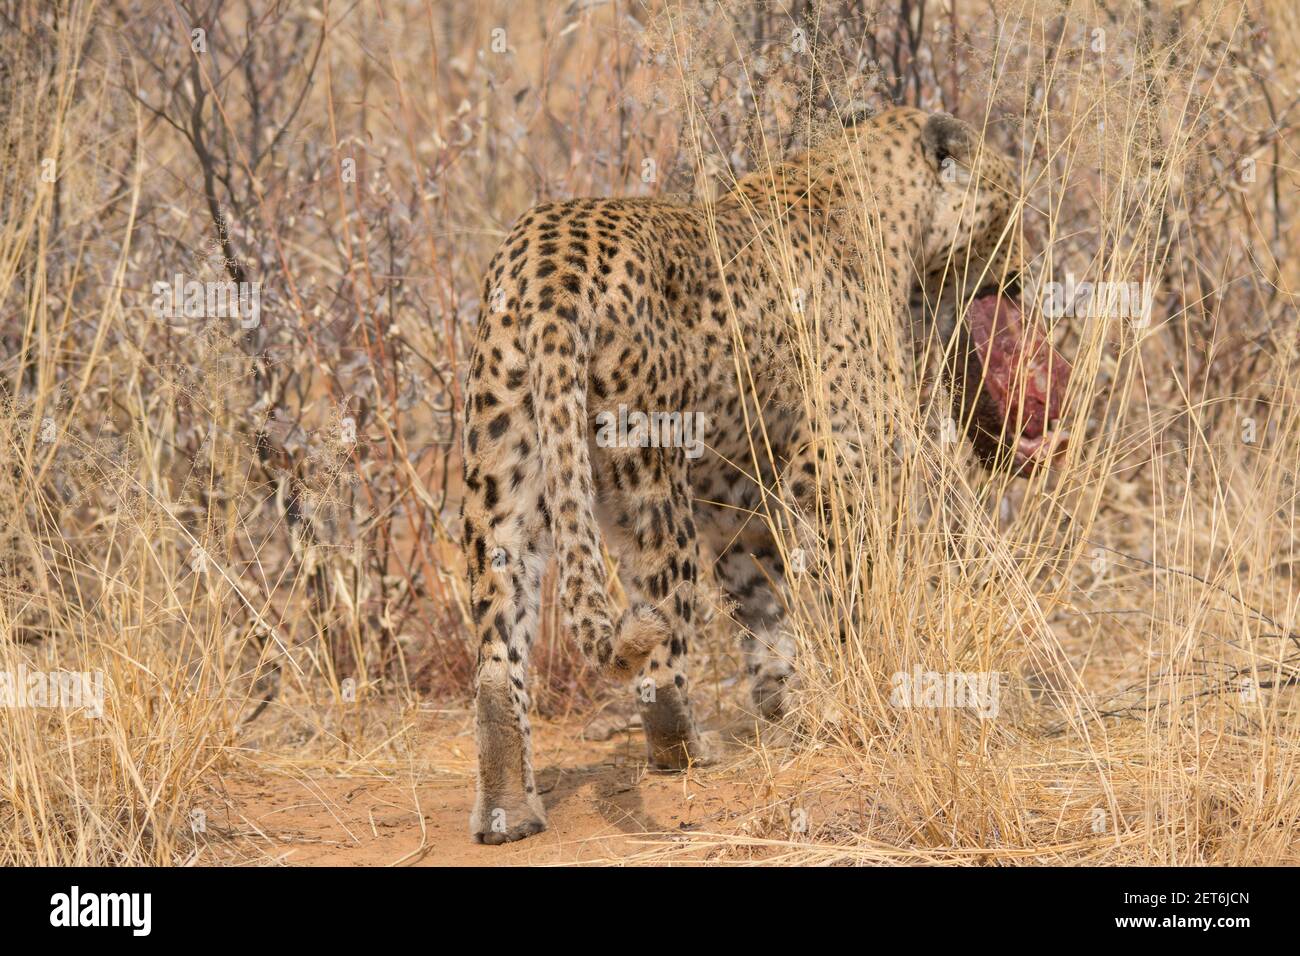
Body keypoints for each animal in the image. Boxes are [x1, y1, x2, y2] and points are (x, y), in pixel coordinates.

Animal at [460, 107, 1020, 844]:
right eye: (1007, 203)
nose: (1018, 277)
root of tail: (546, 267)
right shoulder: (833, 462)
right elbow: (842, 590)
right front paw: (842, 687)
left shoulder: (734, 500)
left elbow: (764, 602)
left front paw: (786, 702)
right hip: (647, 479)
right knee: (660, 643)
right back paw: (687, 748)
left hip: (503, 476)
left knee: (498, 657)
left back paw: (508, 811)